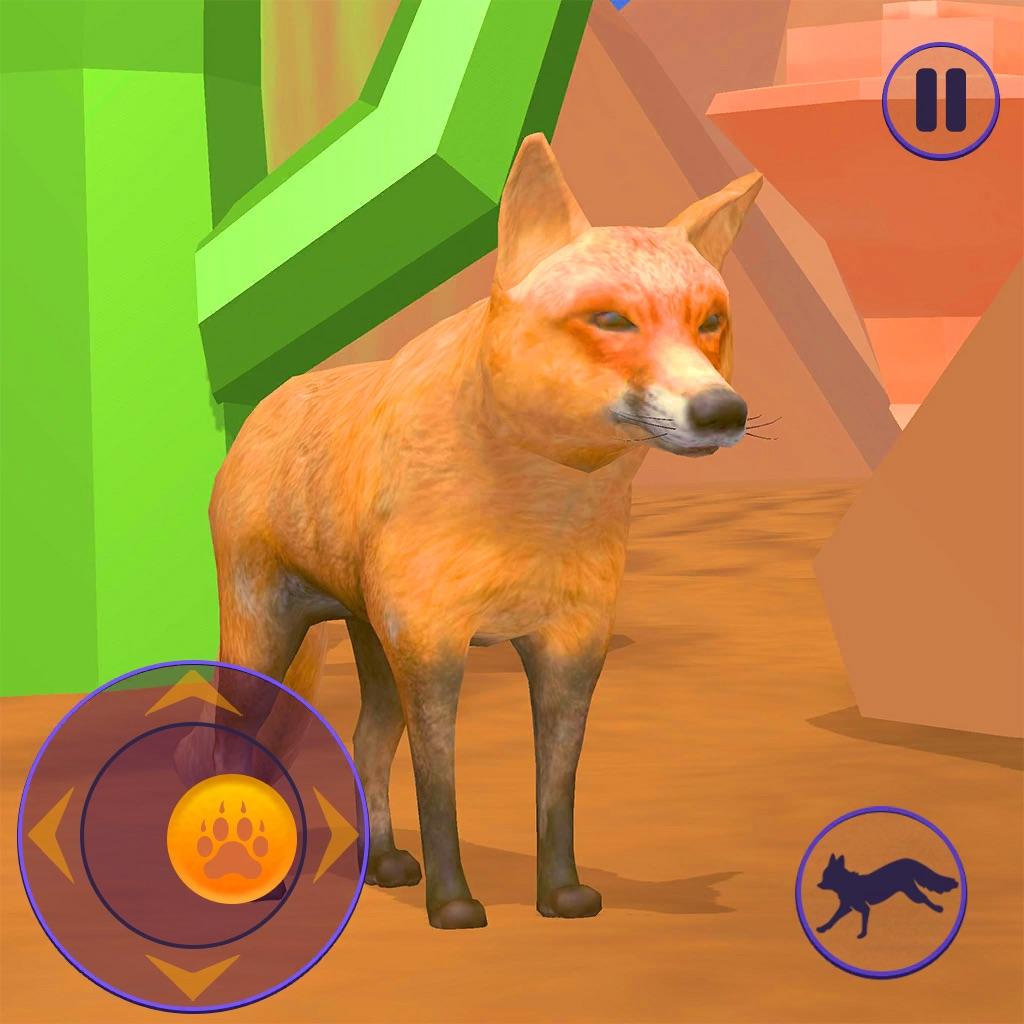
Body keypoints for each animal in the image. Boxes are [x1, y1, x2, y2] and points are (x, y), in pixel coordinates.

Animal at [175, 134, 763, 929]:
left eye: (709, 322)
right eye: (611, 321)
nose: (722, 411)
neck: (533, 517)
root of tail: (272, 399)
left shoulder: (572, 646)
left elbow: (555, 792)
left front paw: (560, 894)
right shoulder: (433, 645)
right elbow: (440, 790)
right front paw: (452, 903)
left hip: (373, 647)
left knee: (363, 744)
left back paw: (382, 862)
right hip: (270, 641)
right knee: (232, 743)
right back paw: (254, 868)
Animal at [816, 853, 959, 939]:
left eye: (828, 877)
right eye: (824, 876)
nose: (818, 885)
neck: (846, 884)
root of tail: (907, 861)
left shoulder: (864, 908)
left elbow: (862, 922)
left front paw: (863, 934)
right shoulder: (847, 907)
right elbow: (833, 918)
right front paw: (823, 928)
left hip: (912, 894)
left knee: (925, 898)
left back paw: (938, 908)